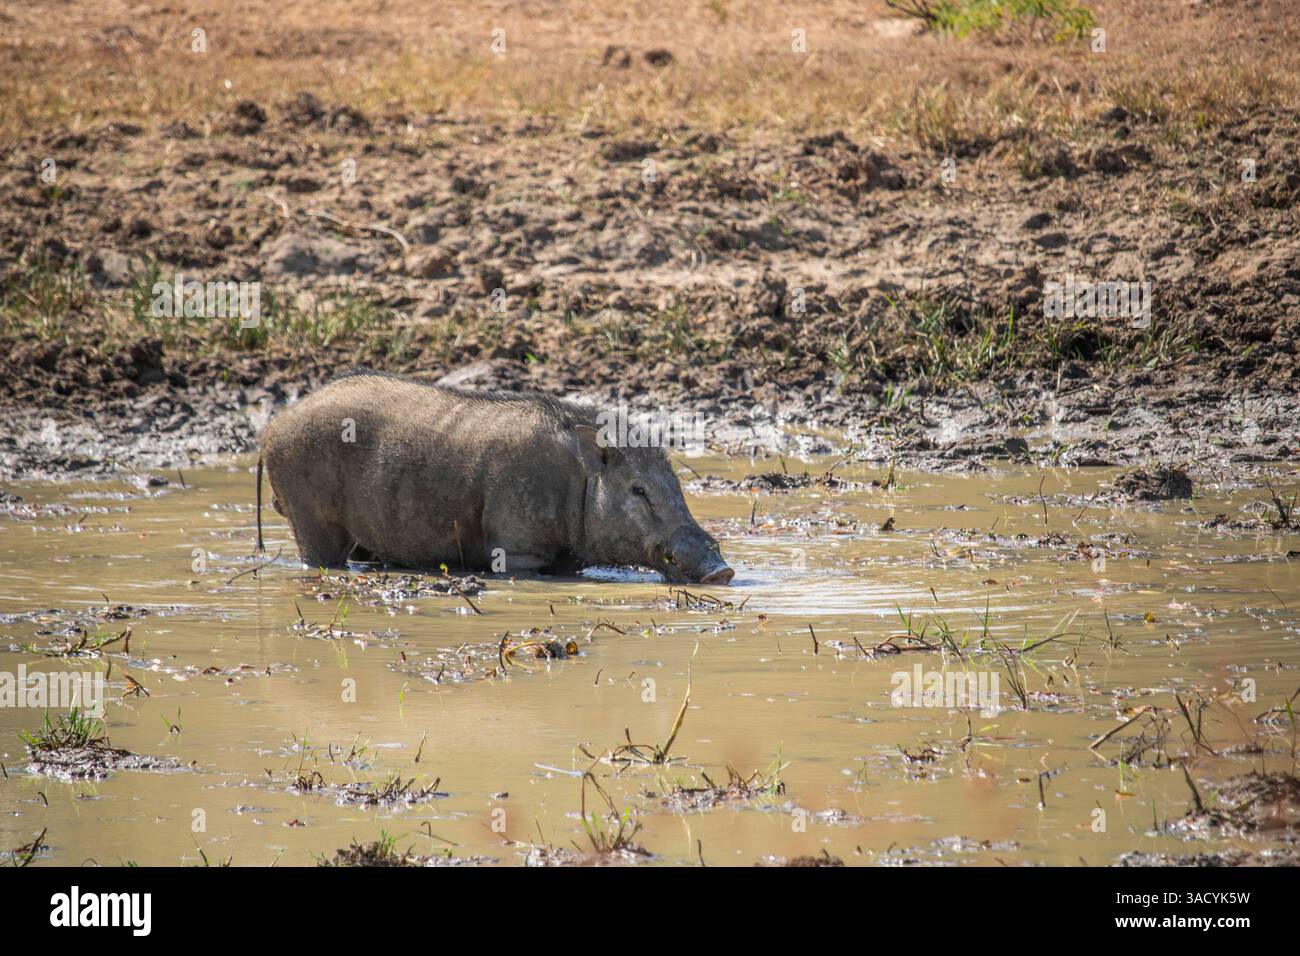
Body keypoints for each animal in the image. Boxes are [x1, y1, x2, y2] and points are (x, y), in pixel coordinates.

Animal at [256, 370, 734, 585]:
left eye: (675, 486)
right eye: (638, 490)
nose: (723, 571)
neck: (573, 480)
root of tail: (272, 428)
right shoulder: (517, 549)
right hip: (310, 519)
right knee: (318, 558)